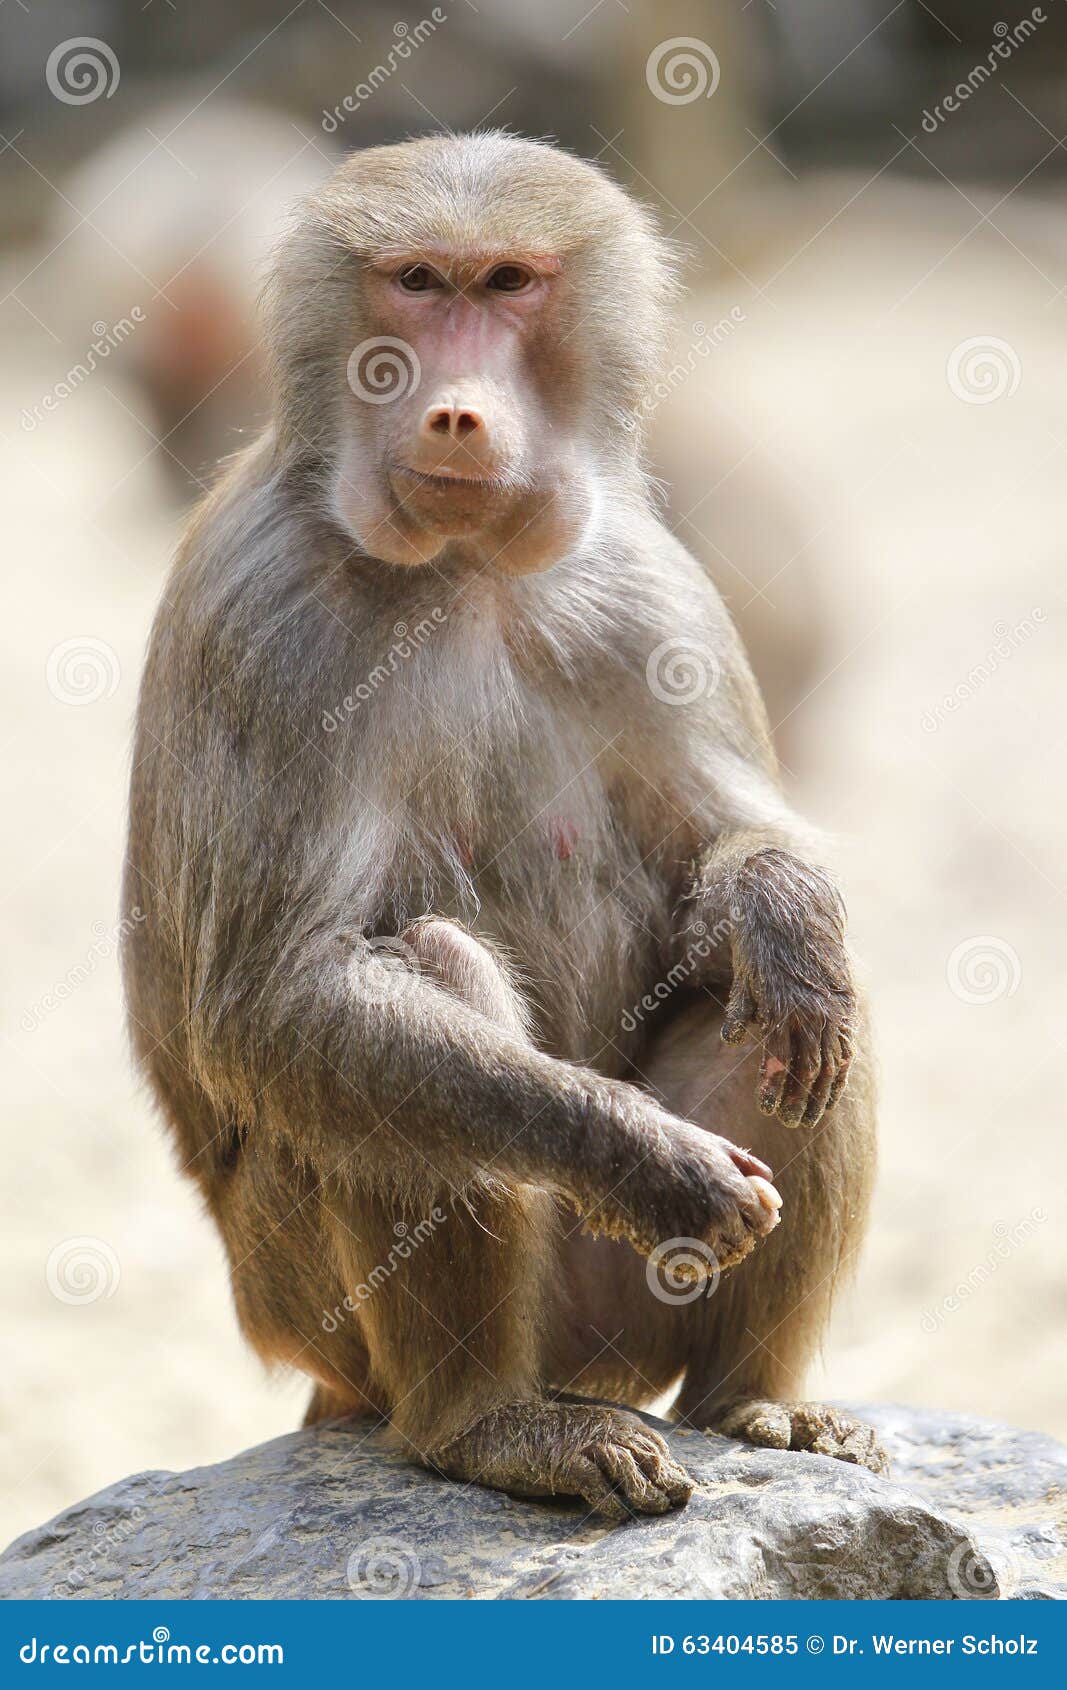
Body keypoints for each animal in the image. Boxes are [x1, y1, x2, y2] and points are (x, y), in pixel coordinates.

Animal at [122, 132, 884, 1523]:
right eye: (416, 282)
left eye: (510, 282)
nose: (456, 412)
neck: (464, 565)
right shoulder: (271, 620)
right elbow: (279, 996)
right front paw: (647, 1158)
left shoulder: (649, 582)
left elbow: (740, 861)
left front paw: (784, 919)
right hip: (303, 1298)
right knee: (419, 978)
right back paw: (487, 1429)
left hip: (617, 1312)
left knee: (791, 1025)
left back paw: (750, 1399)